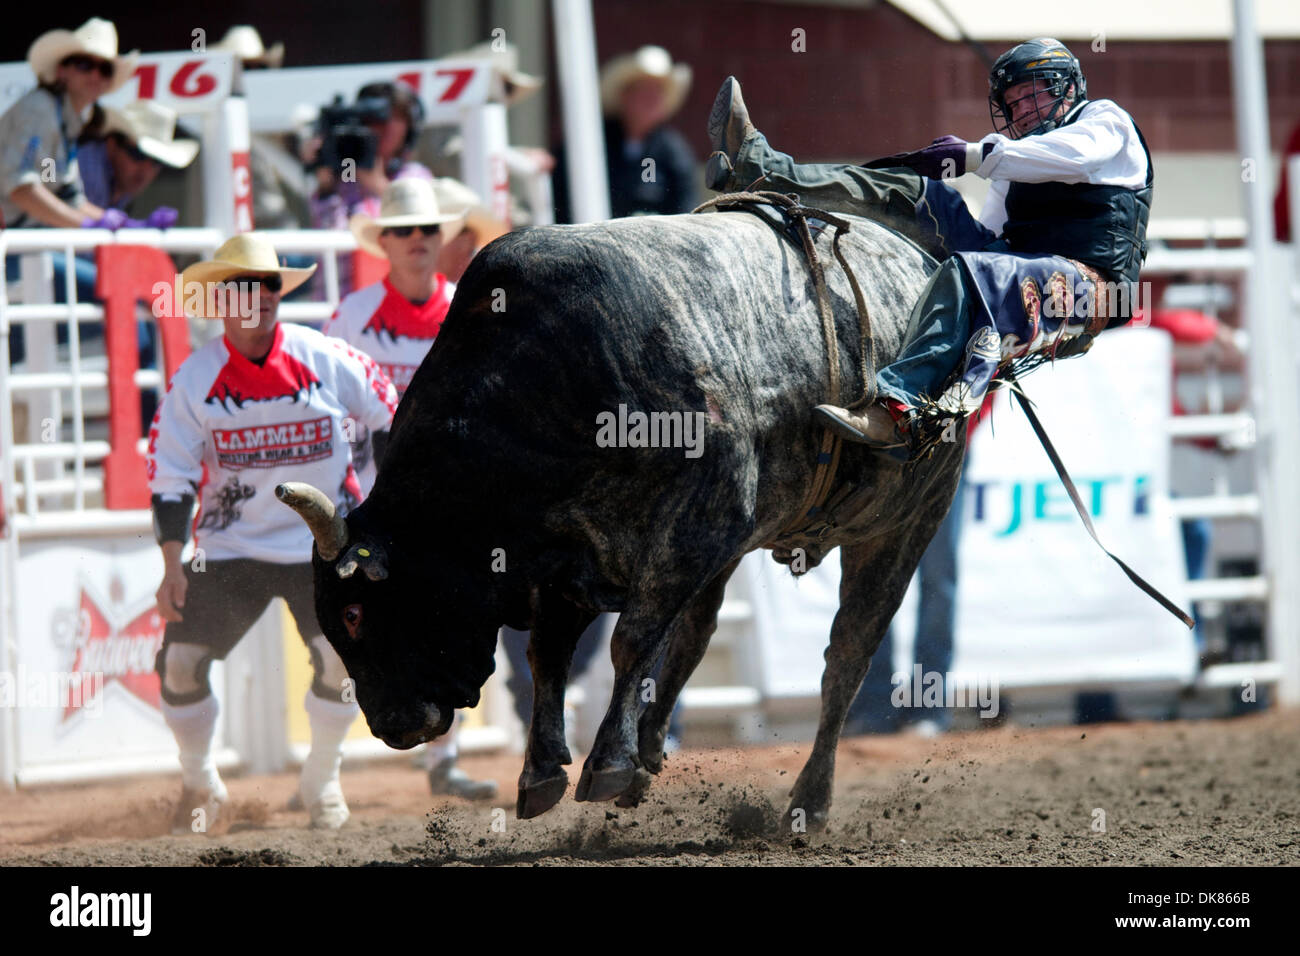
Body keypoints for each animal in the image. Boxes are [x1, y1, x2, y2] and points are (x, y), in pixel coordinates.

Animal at [278, 206, 963, 830]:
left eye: (355, 613)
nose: (391, 724)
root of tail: (919, 257)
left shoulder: (699, 520)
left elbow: (631, 640)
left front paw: (606, 763)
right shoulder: (568, 553)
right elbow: (550, 655)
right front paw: (544, 770)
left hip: (905, 523)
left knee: (846, 654)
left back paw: (808, 801)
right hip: (731, 550)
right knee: (696, 635)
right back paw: (649, 756)